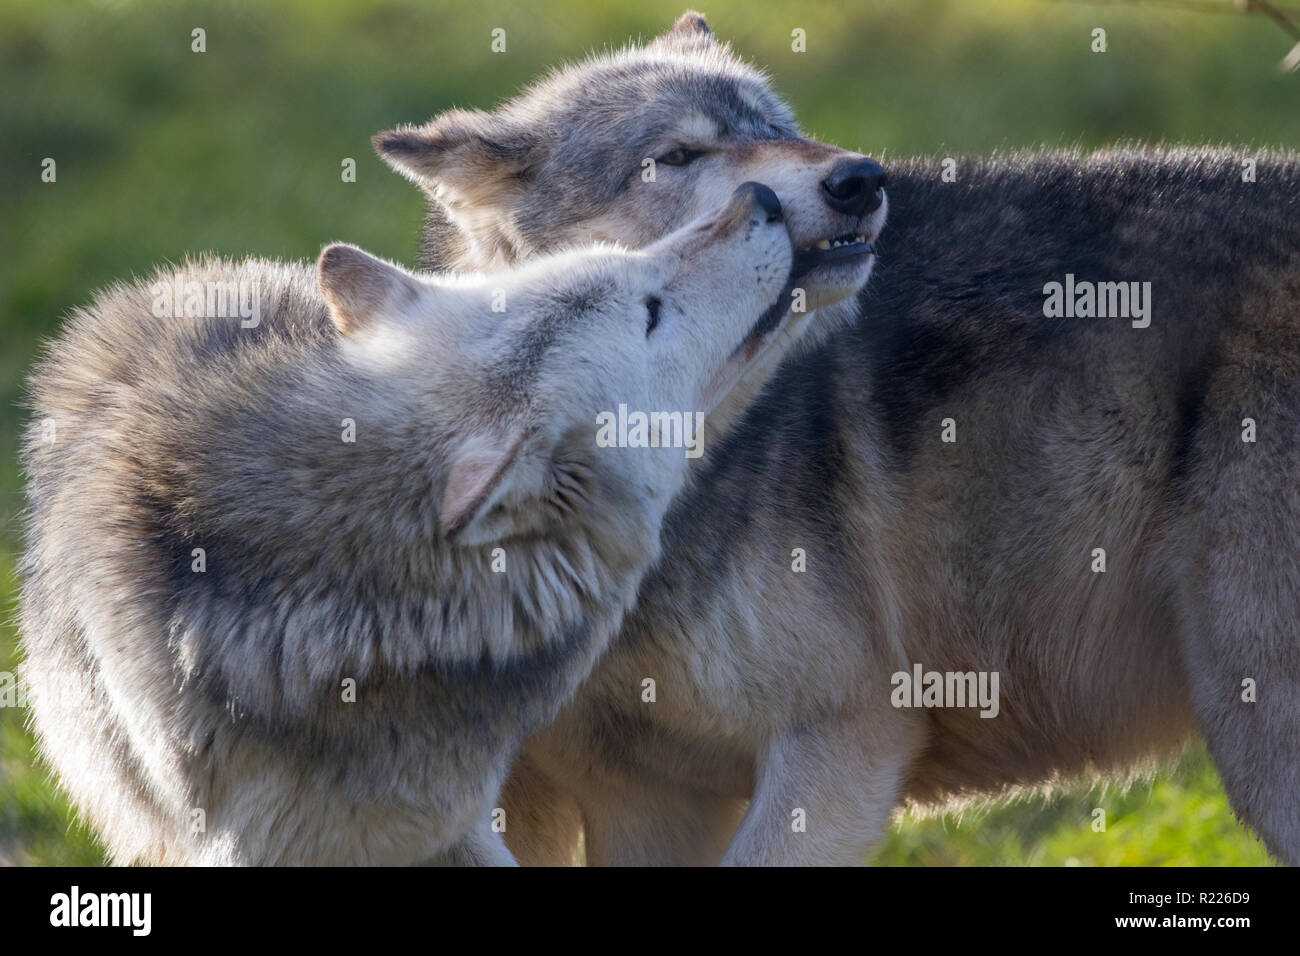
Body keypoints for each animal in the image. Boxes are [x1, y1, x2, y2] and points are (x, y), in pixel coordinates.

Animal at [378, 11, 1300, 866]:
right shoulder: (633, 794)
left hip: (1257, 729)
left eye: (781, 130)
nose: (861, 179)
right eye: (677, 157)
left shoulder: (842, 739)